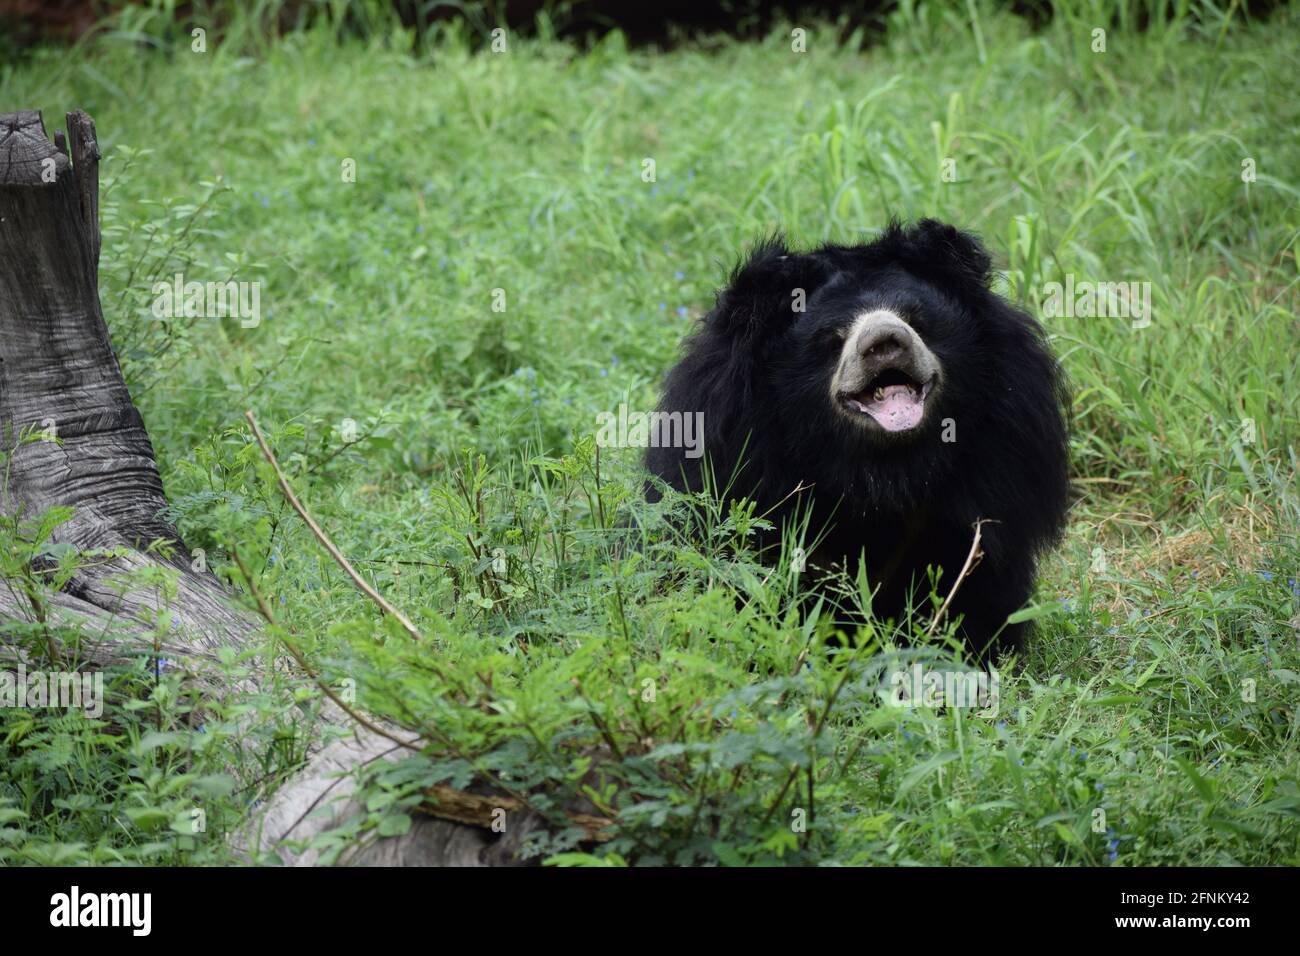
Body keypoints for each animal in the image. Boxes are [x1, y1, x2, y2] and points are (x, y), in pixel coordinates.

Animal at [645, 219, 1070, 661]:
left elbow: (972, 580)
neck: (880, 470)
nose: (884, 340)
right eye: (833, 338)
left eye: (915, 319)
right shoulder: (732, 462)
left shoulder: (997, 463)